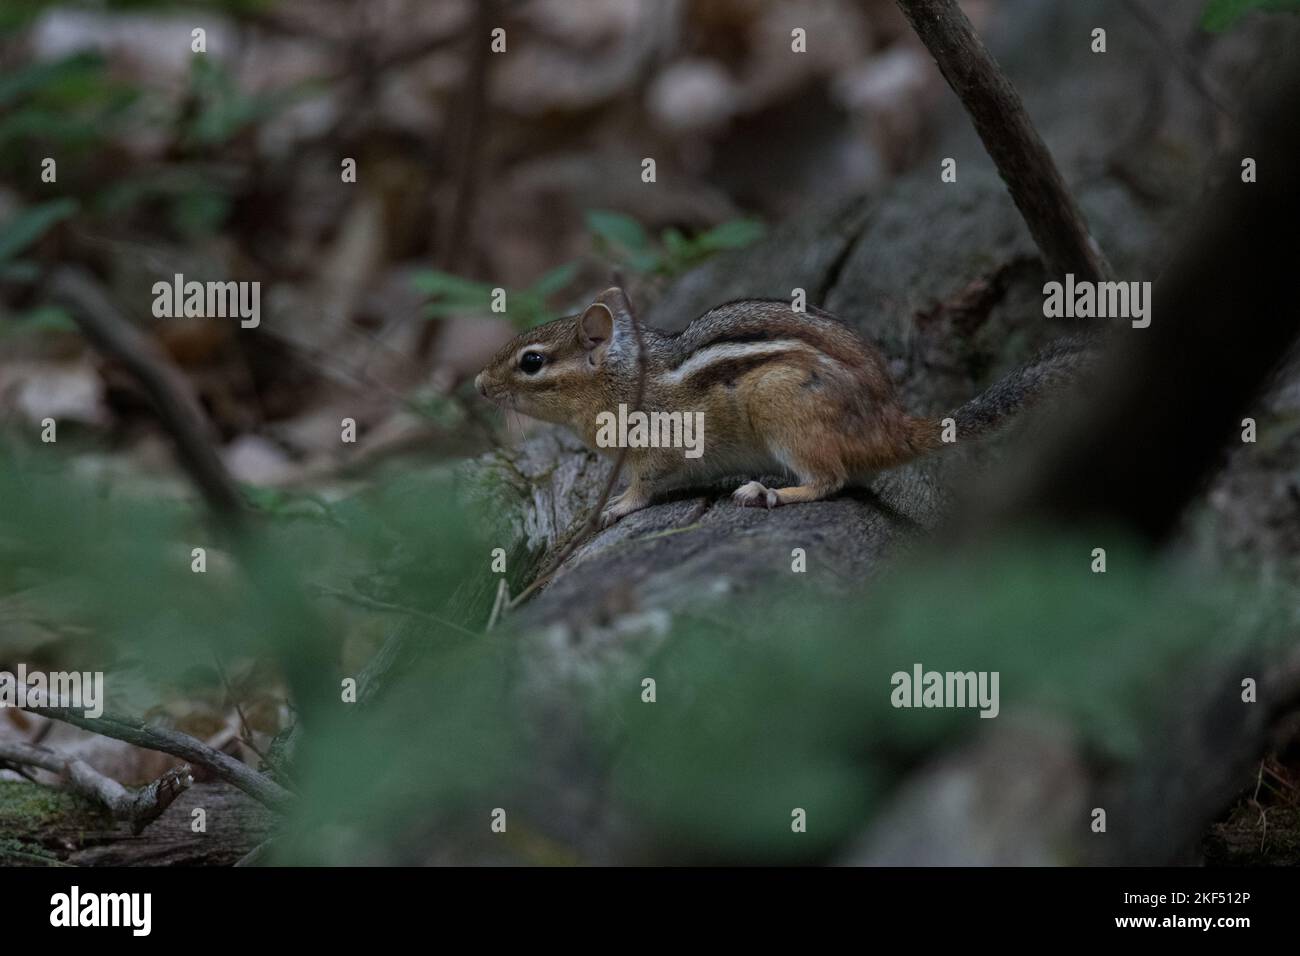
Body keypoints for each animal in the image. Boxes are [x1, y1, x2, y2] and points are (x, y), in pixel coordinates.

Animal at [475, 287, 1085, 526]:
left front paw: (617, 506)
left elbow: (646, 484)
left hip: (784, 409)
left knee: (830, 481)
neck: (623, 380)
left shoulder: (658, 445)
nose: (479, 385)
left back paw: (768, 492)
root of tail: (891, 424)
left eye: (531, 362)